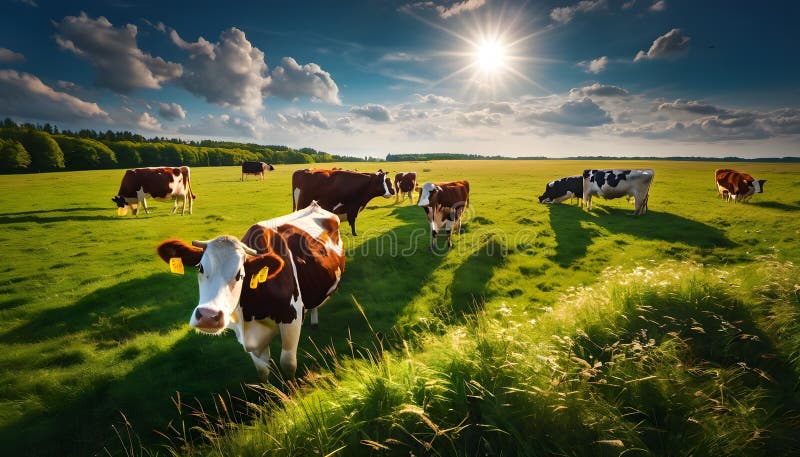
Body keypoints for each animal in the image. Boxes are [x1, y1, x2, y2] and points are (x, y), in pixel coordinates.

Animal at [156, 201, 345, 379]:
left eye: (240, 274)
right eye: (200, 268)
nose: (208, 317)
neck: (250, 315)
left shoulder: (292, 320)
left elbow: (288, 365)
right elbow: (262, 370)